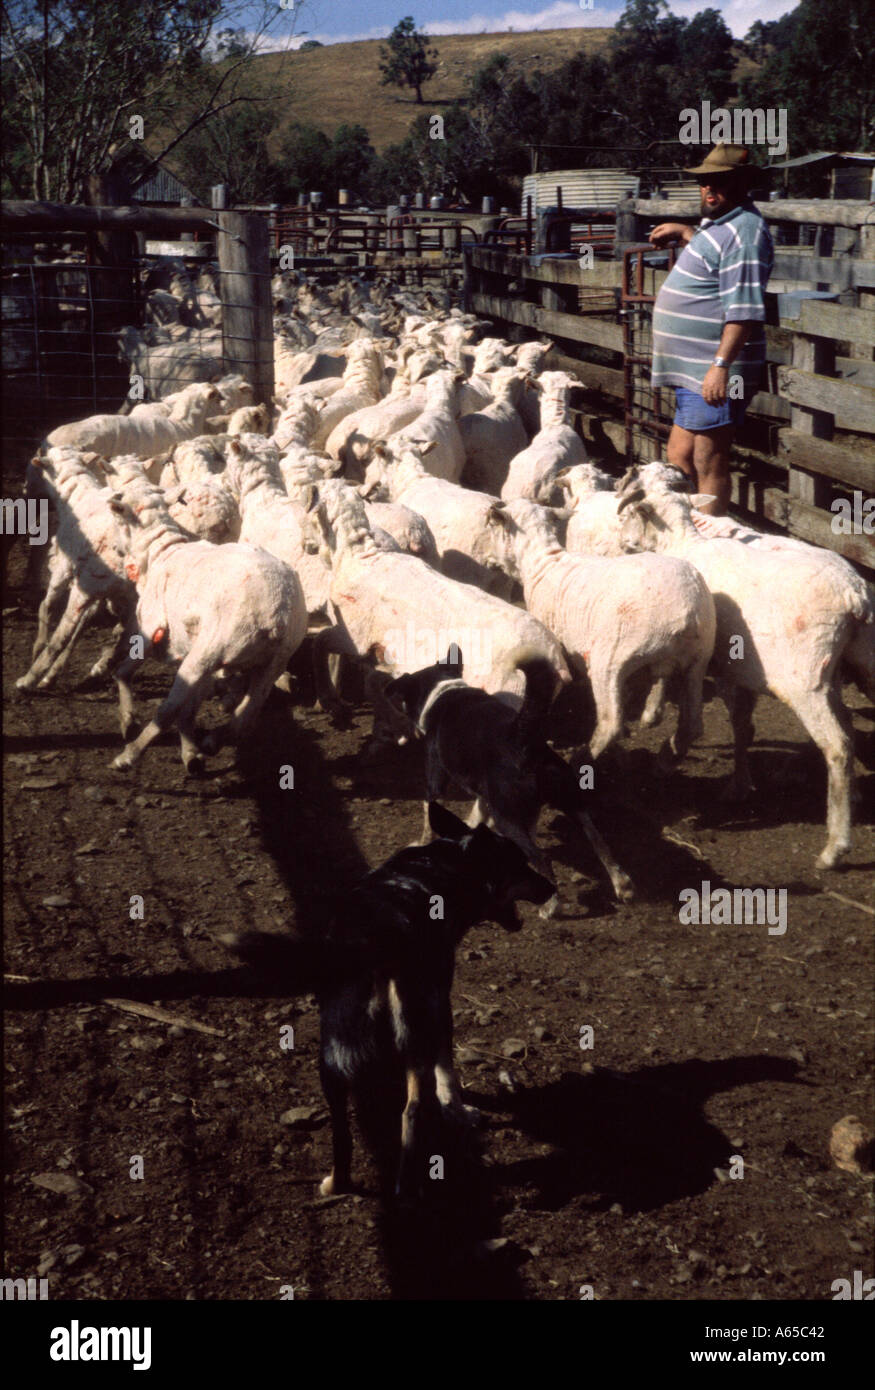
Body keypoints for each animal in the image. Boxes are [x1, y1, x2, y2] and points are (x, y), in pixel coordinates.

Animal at [103, 458, 308, 773]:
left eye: (118, 519)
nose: (114, 548)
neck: (160, 552)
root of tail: (277, 610)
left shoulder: (150, 629)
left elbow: (124, 672)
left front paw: (127, 720)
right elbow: (191, 707)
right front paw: (190, 751)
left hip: (209, 651)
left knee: (168, 709)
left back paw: (129, 755)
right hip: (273, 660)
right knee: (246, 715)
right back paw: (212, 742)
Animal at [483, 498, 716, 767]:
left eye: (492, 526)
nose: (487, 561)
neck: (542, 563)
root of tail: (688, 609)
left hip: (613, 655)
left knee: (611, 723)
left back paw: (583, 756)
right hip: (699, 656)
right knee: (694, 724)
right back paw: (668, 753)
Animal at [615, 468, 873, 868]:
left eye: (629, 510)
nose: (621, 544)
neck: (681, 544)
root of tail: (855, 595)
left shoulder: (708, 663)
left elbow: (698, 719)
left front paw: (665, 756)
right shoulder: (739, 672)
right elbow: (742, 727)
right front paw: (738, 785)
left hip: (806, 681)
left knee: (838, 745)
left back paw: (835, 847)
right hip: (863, 662)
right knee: (848, 725)